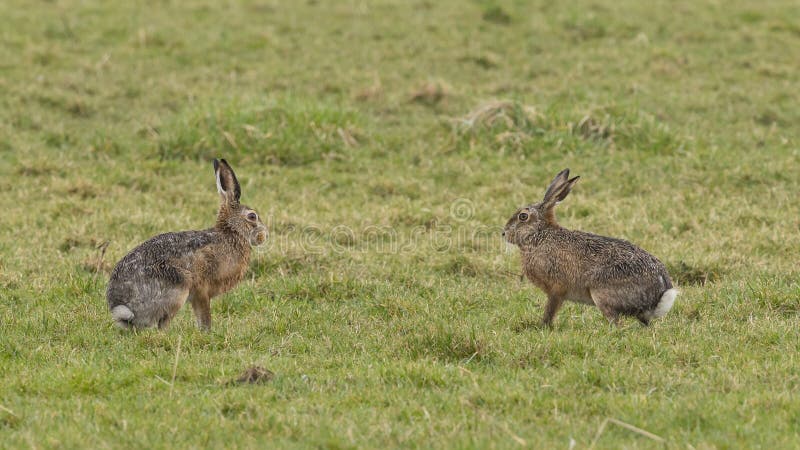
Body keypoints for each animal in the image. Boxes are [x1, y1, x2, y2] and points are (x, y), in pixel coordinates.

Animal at [106, 159, 268, 330]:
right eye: (252, 216)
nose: (264, 236)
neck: (231, 232)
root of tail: (123, 307)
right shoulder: (201, 290)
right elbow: (204, 316)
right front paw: (207, 332)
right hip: (179, 287)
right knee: (162, 324)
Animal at [503, 169, 677, 327]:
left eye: (523, 216)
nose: (503, 233)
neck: (539, 234)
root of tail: (659, 292)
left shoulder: (556, 289)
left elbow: (550, 309)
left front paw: (543, 326)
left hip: (601, 294)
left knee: (616, 322)